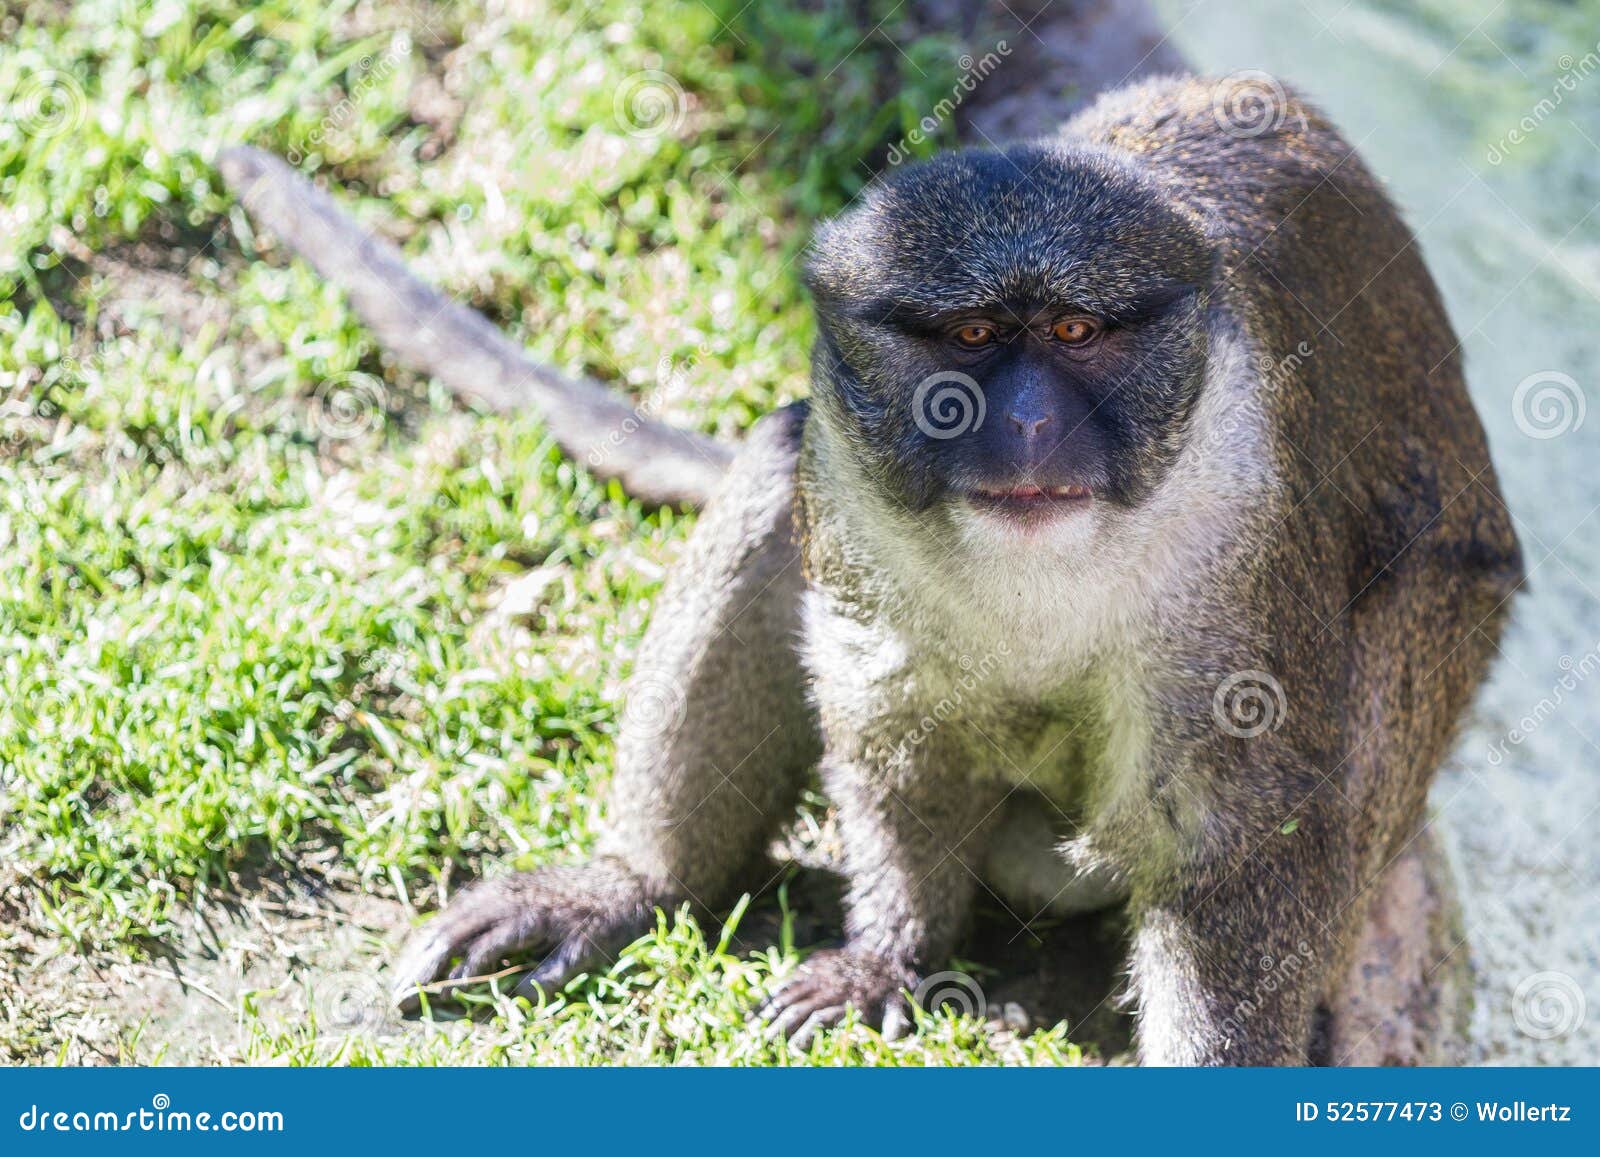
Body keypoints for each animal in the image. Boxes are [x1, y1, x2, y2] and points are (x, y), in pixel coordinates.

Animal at [365, 73, 1525, 1065]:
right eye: (970, 336)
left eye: (1075, 330)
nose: (1026, 422)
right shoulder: (849, 484)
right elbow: (896, 735)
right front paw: (887, 955)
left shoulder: (1244, 557)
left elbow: (1237, 844)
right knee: (776, 457)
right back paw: (634, 882)